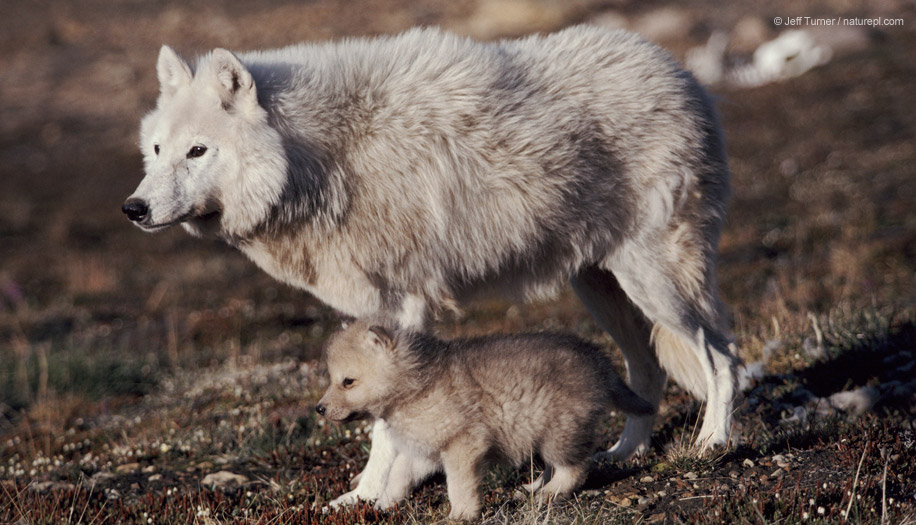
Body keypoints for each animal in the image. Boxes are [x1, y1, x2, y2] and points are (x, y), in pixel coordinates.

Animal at [316, 319, 655, 519]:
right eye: (332, 379)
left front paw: (463, 514)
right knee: (553, 466)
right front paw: (383, 504)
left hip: (560, 430)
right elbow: (398, 475)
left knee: (576, 468)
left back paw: (549, 494)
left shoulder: (463, 444)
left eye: (348, 382)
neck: (416, 385)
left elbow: (457, 484)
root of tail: (600, 362)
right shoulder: (426, 450)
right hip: (543, 431)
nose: (319, 409)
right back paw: (532, 487)